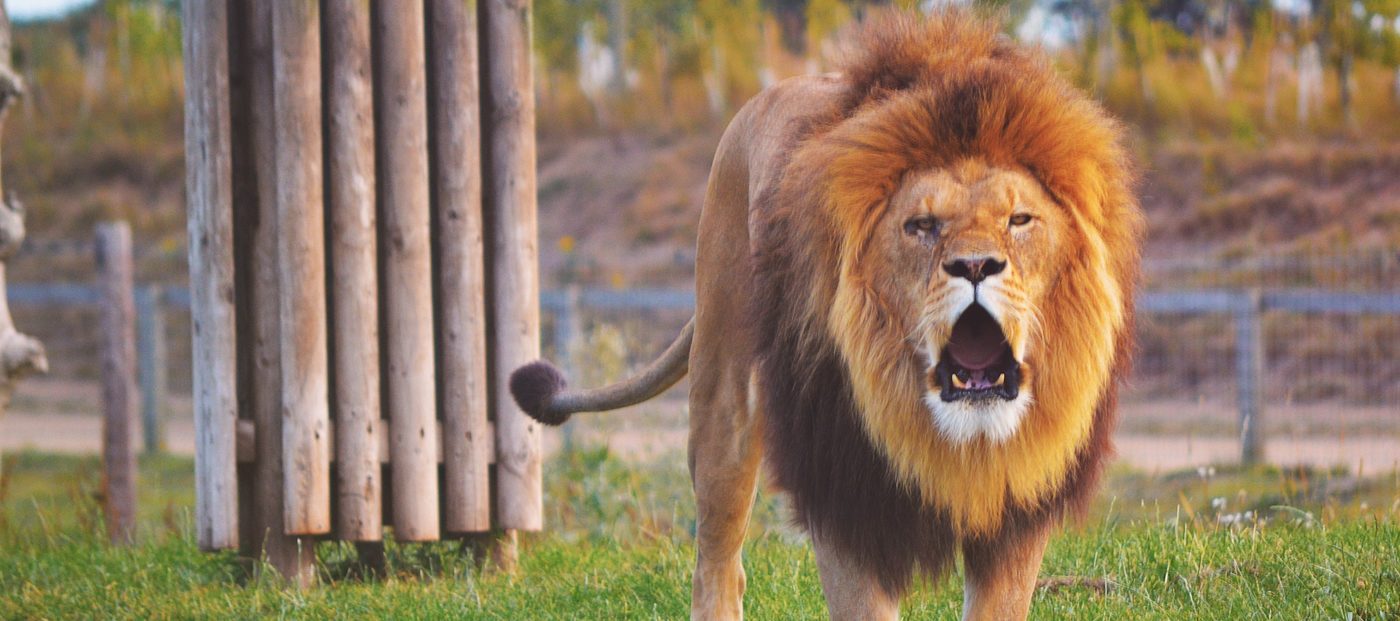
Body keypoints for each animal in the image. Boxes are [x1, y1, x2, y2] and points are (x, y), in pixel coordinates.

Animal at [511, 10, 1141, 620]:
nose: (976, 265)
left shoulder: (1019, 504)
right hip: (722, 397)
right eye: (921, 225)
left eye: (1019, 220)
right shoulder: (842, 490)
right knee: (717, 561)